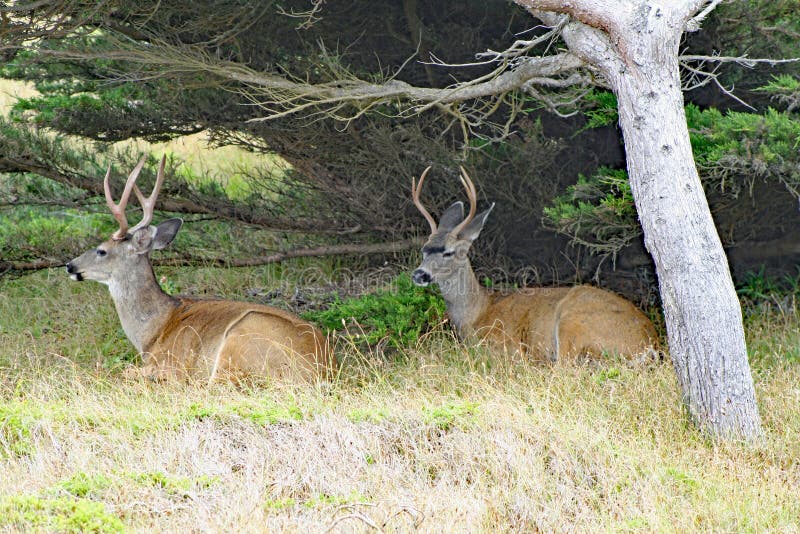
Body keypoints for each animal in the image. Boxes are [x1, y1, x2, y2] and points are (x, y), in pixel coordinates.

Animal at [66, 156, 335, 383]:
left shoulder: (171, 360)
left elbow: (129, 370)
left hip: (241, 338)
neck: (153, 329)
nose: (70, 265)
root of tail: (321, 370)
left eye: (101, 250)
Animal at [410, 166, 658, 362]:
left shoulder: (504, 344)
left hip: (573, 322)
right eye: (424, 249)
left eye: (449, 252)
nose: (419, 274)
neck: (476, 313)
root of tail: (650, 345)